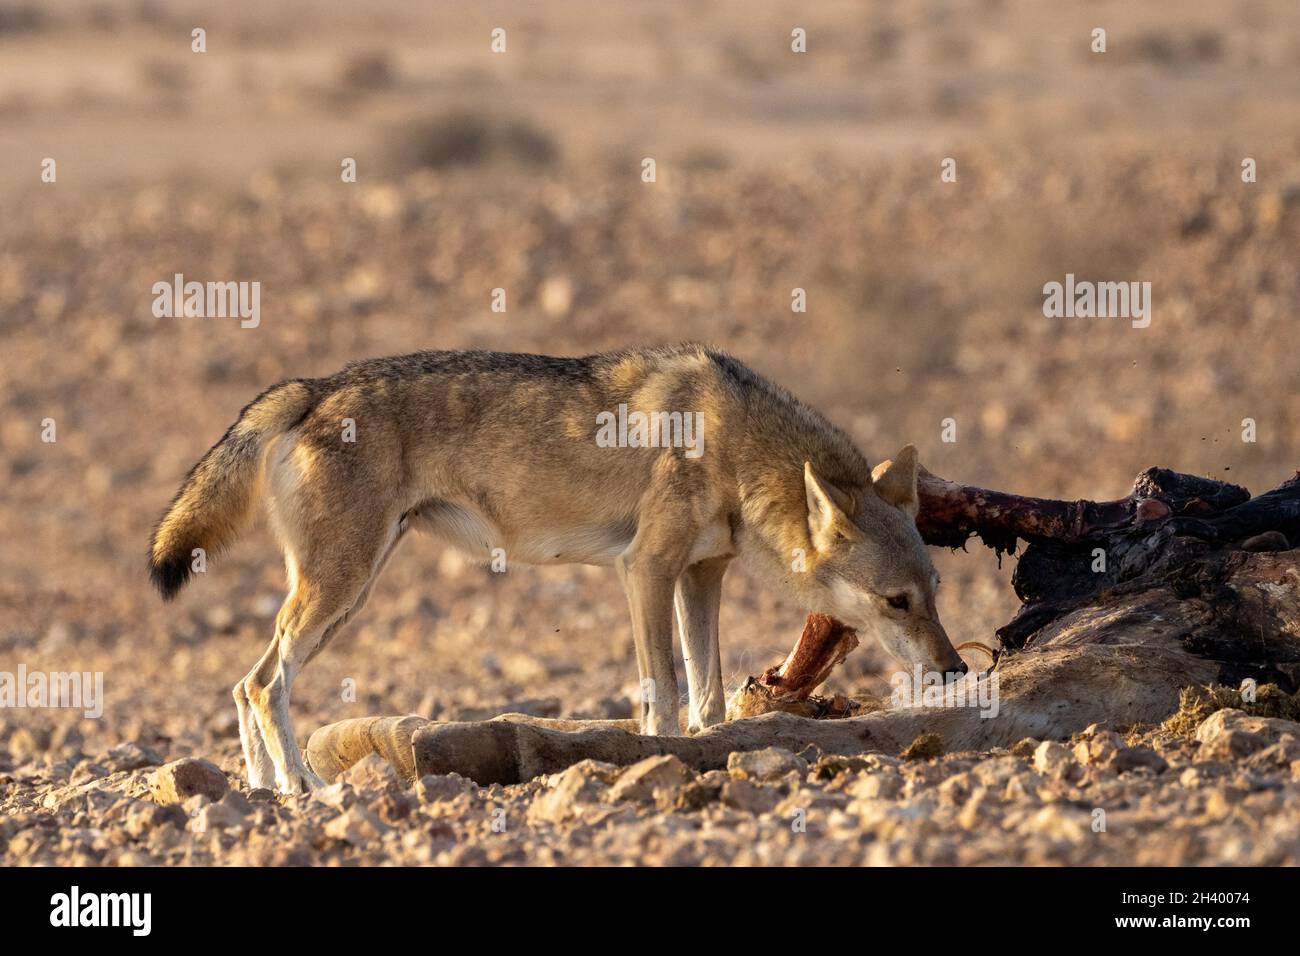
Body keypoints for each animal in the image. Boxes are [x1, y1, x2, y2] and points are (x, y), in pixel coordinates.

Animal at [152, 345, 967, 790]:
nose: (956, 669)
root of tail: (315, 387)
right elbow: (664, 695)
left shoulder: (701, 577)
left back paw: (267, 790)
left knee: (243, 683)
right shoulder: (646, 569)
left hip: (342, 593)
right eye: (897, 603)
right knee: (263, 684)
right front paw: (657, 761)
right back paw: (306, 786)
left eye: (935, 592)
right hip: (341, 589)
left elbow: (706, 699)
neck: (736, 441)